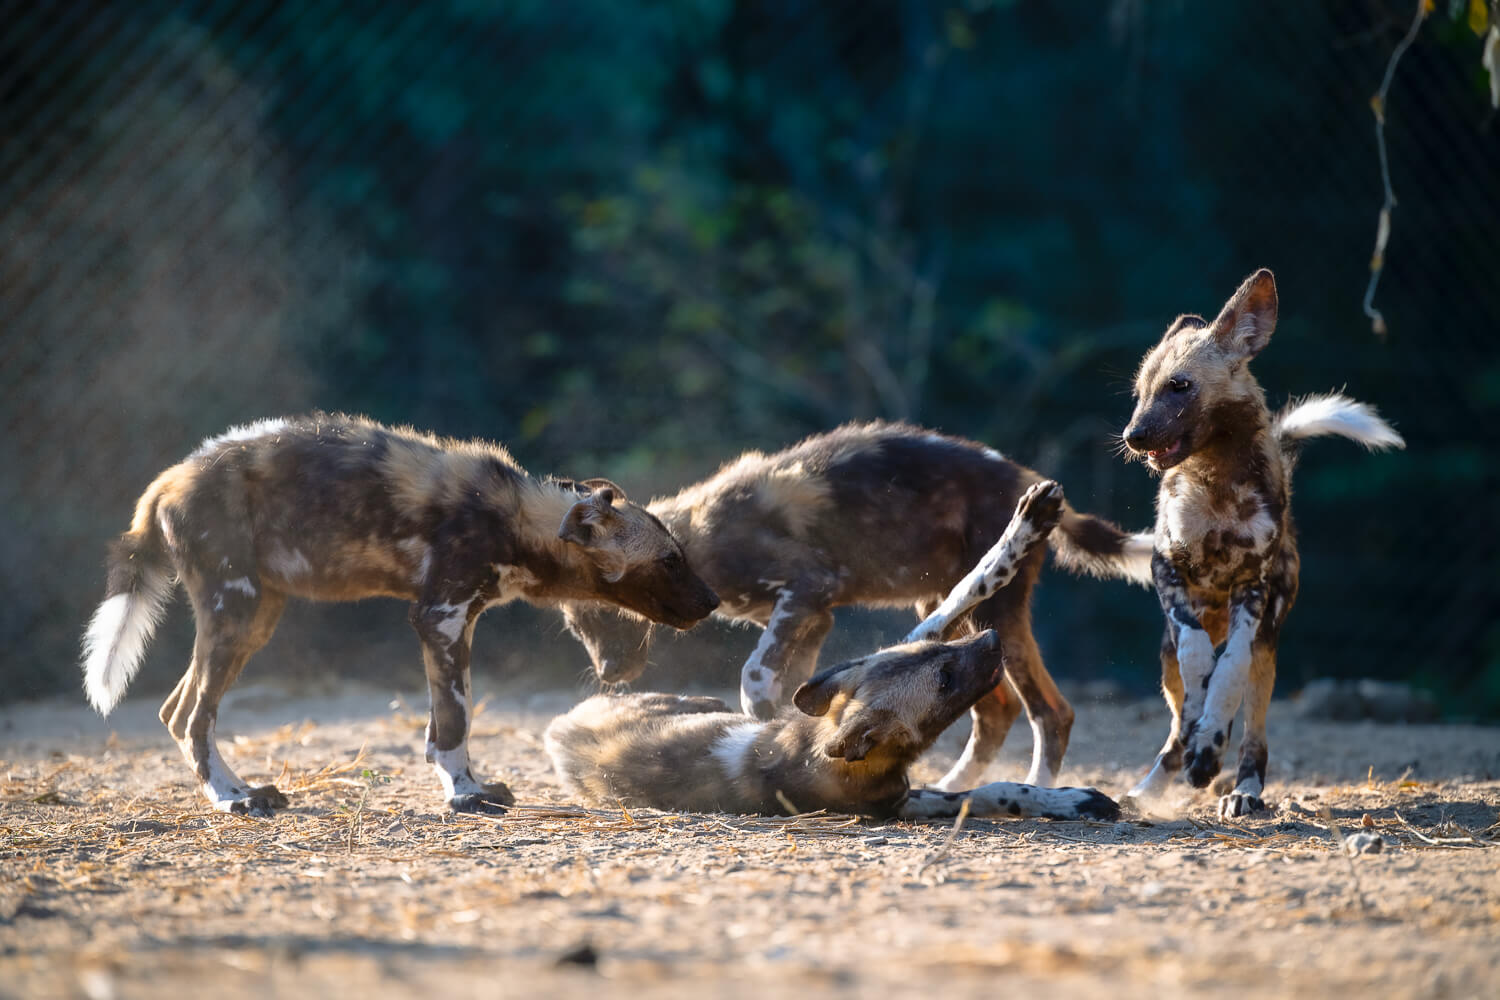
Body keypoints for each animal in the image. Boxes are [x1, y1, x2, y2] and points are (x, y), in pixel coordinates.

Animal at [81, 414, 719, 816]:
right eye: (669, 561)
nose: (713, 602)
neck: (518, 521)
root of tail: (166, 482)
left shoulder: (461, 621)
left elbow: (447, 723)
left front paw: (469, 784)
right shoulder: (440, 617)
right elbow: (456, 721)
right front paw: (463, 795)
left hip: (253, 617)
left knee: (176, 710)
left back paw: (234, 788)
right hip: (236, 609)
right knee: (195, 716)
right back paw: (233, 798)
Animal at [561, 422, 1152, 792]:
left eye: (606, 610)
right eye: (576, 622)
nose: (610, 674)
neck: (696, 540)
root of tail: (1019, 472)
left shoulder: (805, 593)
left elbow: (755, 676)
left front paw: (761, 720)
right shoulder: (811, 617)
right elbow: (791, 685)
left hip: (996, 613)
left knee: (1050, 711)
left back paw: (1035, 787)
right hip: (949, 605)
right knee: (997, 710)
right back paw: (956, 785)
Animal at [1121, 269, 1404, 817]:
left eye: (1179, 386)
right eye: (1139, 392)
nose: (1132, 435)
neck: (1216, 484)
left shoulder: (1252, 592)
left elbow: (1228, 671)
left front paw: (1212, 743)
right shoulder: (1167, 573)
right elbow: (1196, 658)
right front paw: (1200, 736)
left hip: (1267, 641)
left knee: (1252, 725)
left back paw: (1242, 786)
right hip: (1166, 652)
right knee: (1178, 713)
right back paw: (1157, 781)